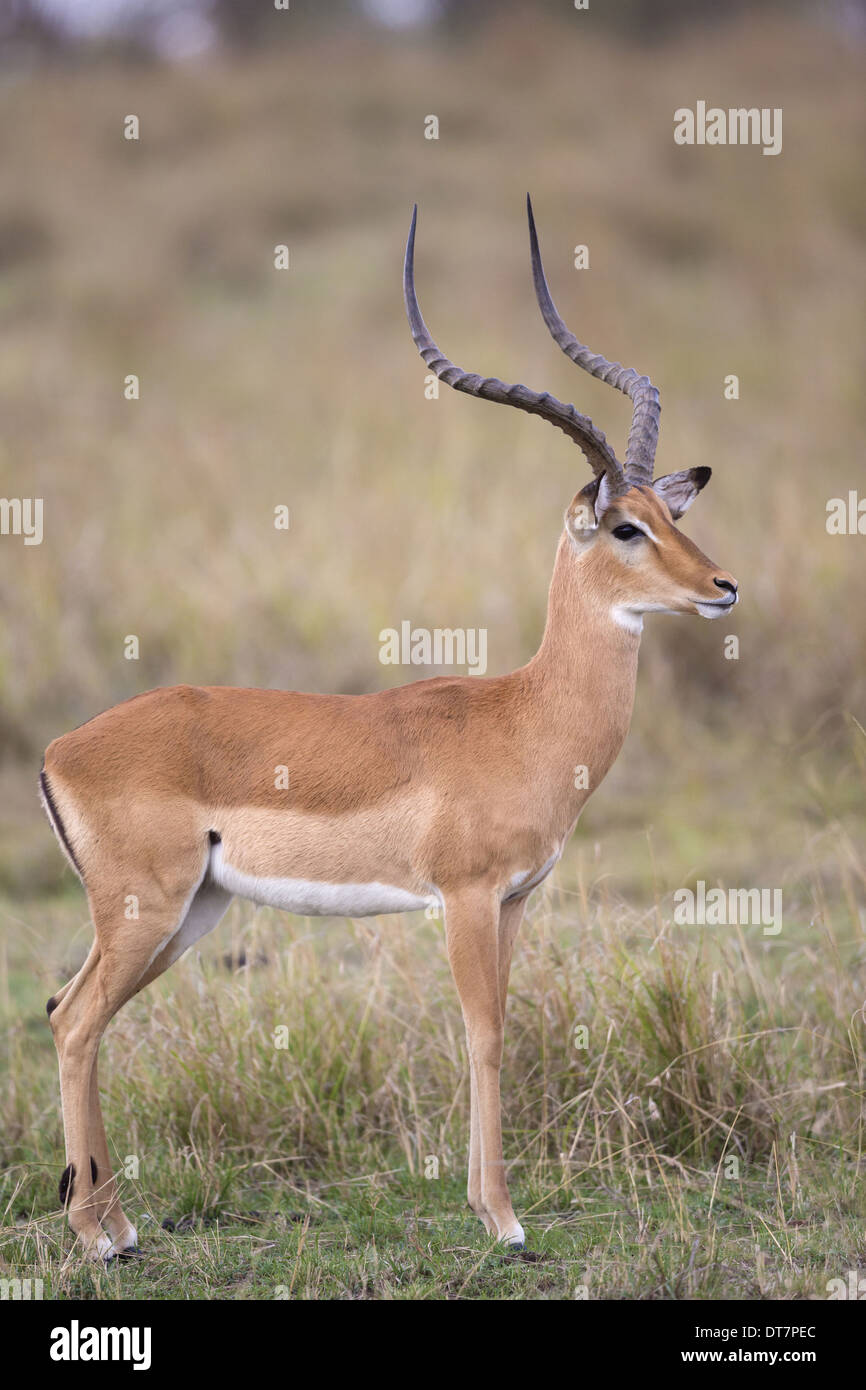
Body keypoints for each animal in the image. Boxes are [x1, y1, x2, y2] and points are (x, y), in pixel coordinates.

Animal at [40, 197, 737, 1259]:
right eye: (626, 527)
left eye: (672, 513)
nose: (723, 587)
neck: (525, 716)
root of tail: (59, 749)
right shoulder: (466, 897)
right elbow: (484, 1034)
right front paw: (504, 1221)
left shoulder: (518, 900)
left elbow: (502, 1028)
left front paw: (491, 1208)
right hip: (145, 909)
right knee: (75, 1020)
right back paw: (101, 1236)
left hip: (189, 911)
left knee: (67, 1012)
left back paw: (115, 1222)